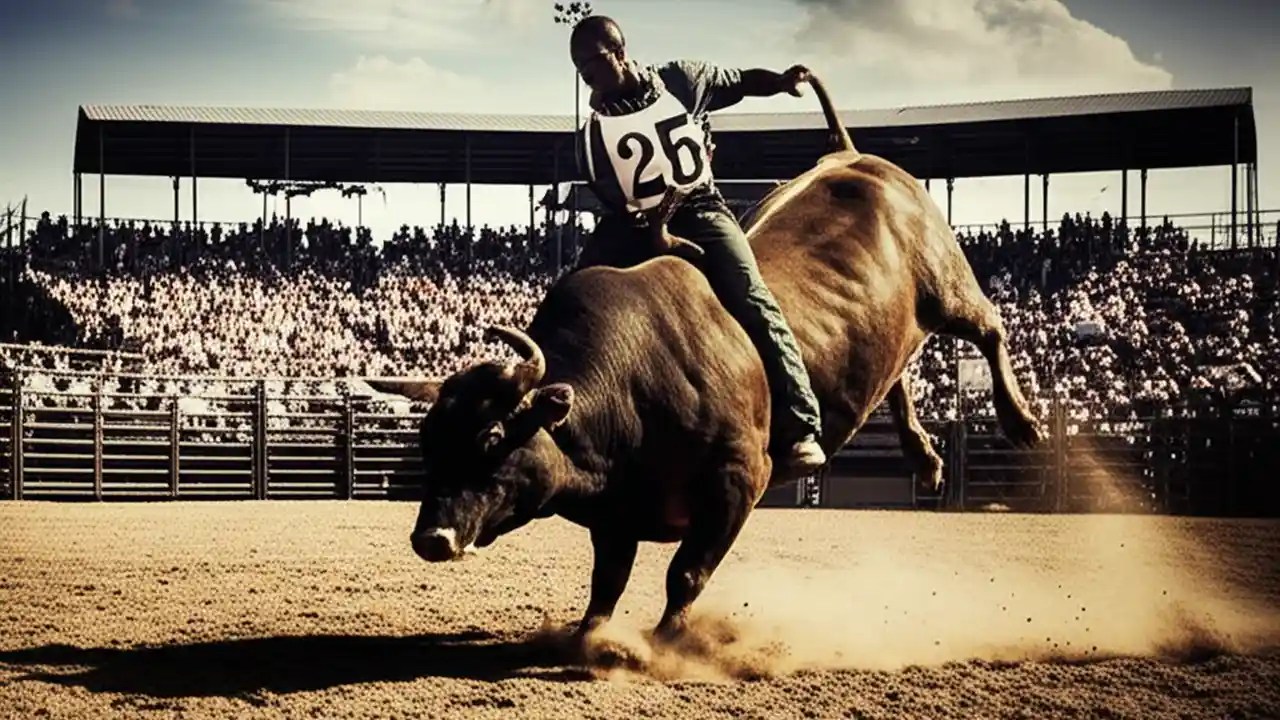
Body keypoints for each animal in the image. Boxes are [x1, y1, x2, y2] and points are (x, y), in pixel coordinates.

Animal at [368, 76, 1044, 642]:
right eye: (427, 442)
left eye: (490, 437)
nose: (431, 538)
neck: (632, 385)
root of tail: (851, 156)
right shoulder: (616, 516)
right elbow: (606, 586)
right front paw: (590, 638)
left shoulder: (738, 482)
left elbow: (686, 573)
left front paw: (667, 644)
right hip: (893, 331)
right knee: (899, 373)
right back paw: (925, 459)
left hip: (947, 285)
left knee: (990, 328)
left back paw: (1022, 424)